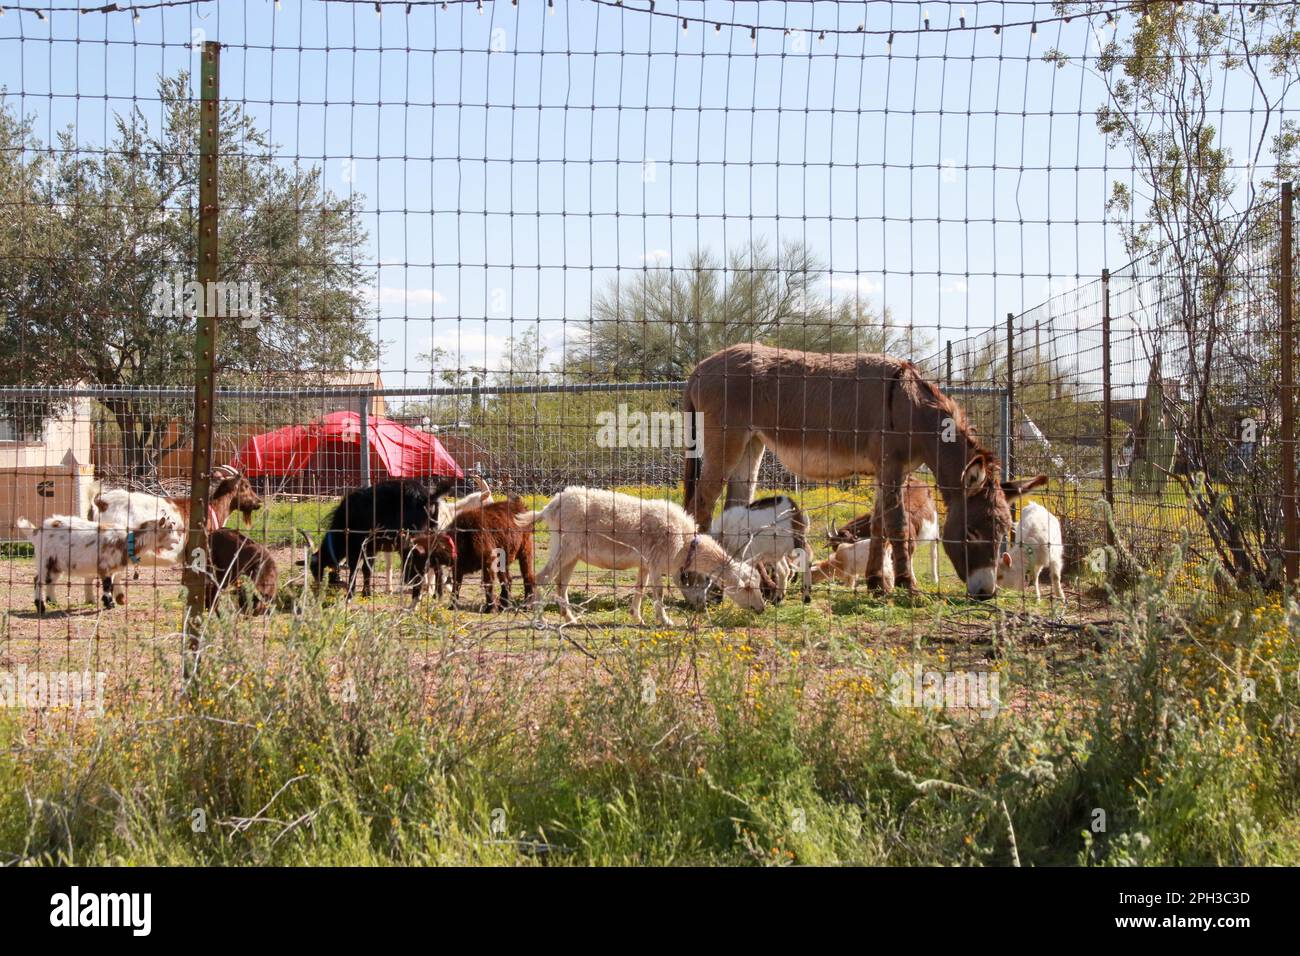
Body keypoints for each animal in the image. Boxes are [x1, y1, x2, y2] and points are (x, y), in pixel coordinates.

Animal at [17, 516, 184, 615]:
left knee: (51, 580)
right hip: (44, 560)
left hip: (56, 564)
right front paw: (109, 603)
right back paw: (41, 606)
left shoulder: (114, 569)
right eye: (169, 529)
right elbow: (107, 585)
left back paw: (53, 602)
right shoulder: (105, 567)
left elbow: (114, 584)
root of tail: (36, 532)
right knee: (38, 580)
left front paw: (114, 601)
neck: (125, 541)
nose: (177, 541)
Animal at [515, 487, 765, 626]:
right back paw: (541, 620)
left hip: (572, 552)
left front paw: (637, 617)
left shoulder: (645, 563)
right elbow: (658, 592)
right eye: (747, 587)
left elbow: (640, 588)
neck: (686, 545)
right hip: (565, 545)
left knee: (561, 584)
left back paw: (571, 619)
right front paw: (665, 621)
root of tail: (550, 507)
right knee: (542, 577)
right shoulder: (656, 562)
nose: (762, 609)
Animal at [678, 494, 810, 608]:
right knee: (784, 570)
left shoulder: (748, 554)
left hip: (796, 541)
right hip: (775, 551)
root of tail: (791, 504)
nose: (708, 601)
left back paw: (806, 596)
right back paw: (778, 598)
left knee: (806, 560)